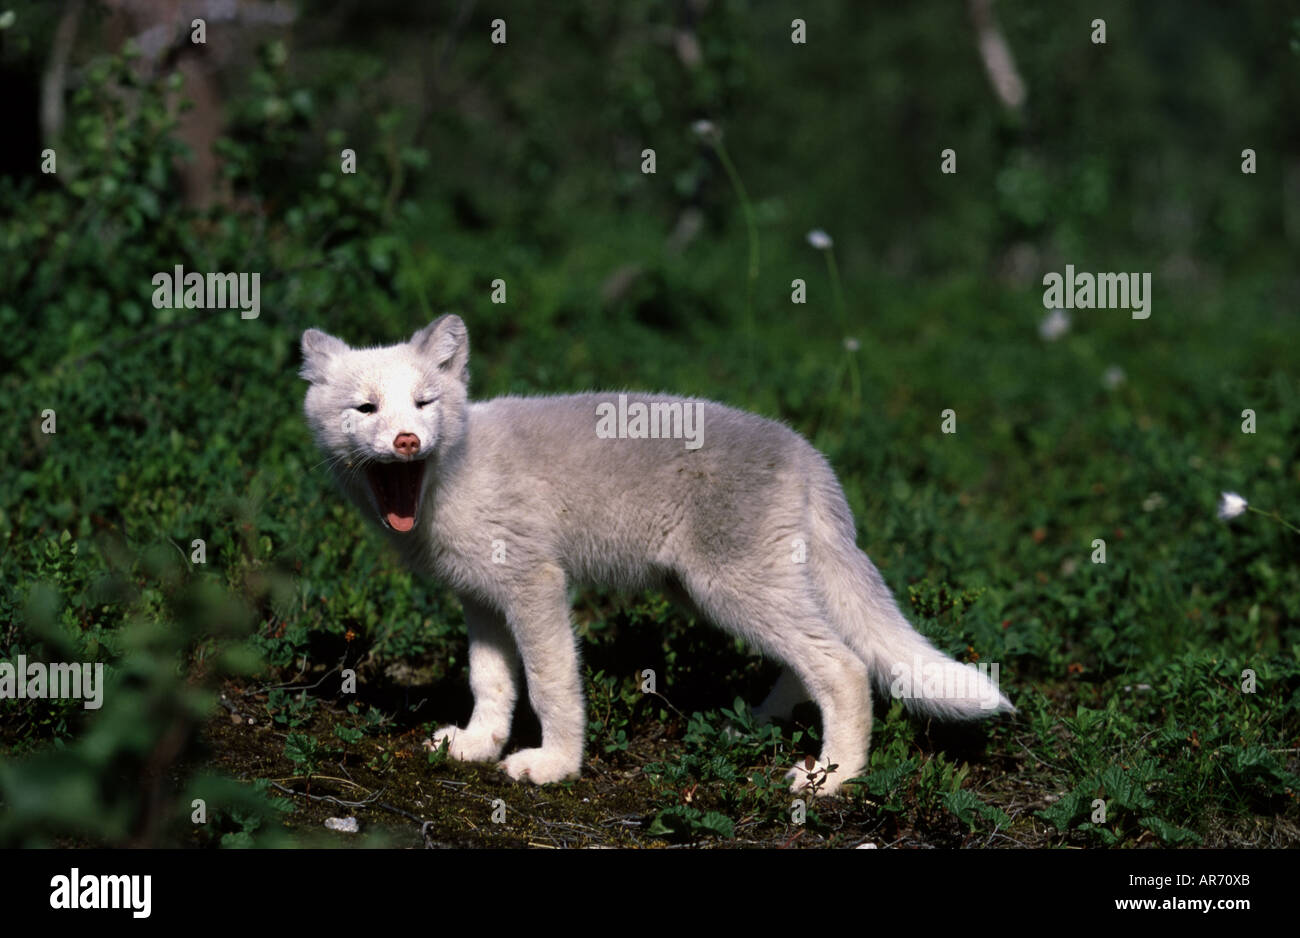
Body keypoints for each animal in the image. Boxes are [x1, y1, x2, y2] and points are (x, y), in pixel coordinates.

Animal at [300, 314, 1012, 795]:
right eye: (366, 407)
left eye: (425, 402)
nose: (407, 440)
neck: (453, 479)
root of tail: (807, 452)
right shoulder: (482, 600)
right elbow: (492, 683)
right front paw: (477, 745)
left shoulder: (536, 585)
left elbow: (551, 686)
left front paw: (556, 766)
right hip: (716, 592)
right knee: (813, 659)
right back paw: (759, 724)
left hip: (731, 588)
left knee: (843, 667)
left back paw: (831, 780)